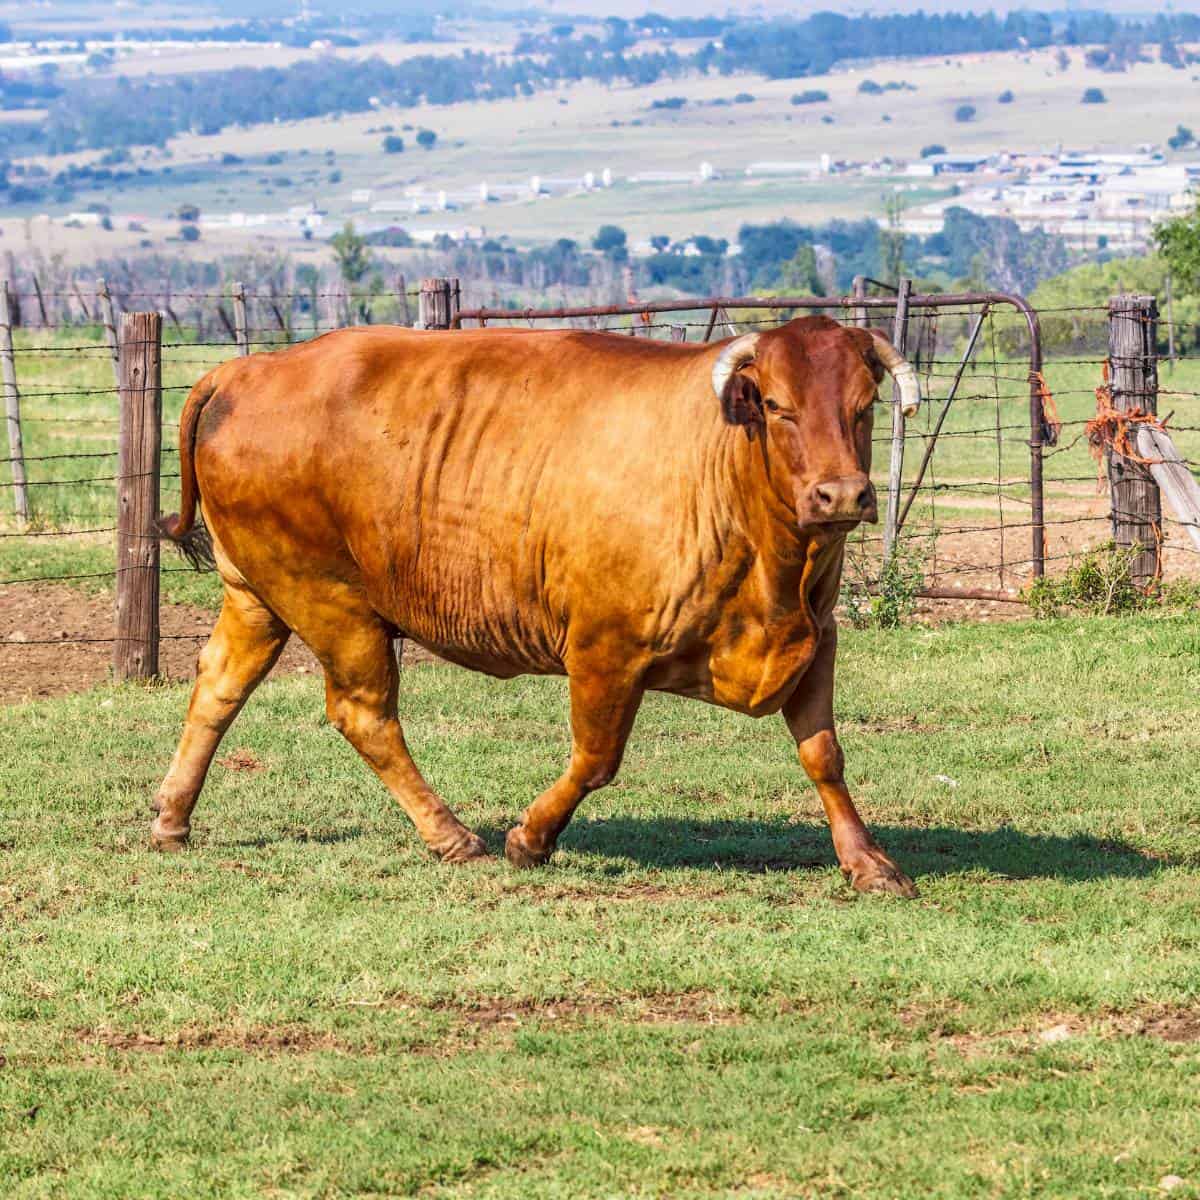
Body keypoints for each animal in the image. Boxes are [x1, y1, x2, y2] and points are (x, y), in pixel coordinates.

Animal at [153, 316, 921, 897]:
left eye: (863, 406)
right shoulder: (606, 648)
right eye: (777, 405)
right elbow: (597, 758)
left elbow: (824, 754)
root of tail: (250, 369)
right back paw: (452, 835)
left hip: (258, 596)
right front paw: (530, 837)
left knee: (218, 687)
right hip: (332, 602)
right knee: (363, 713)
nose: (841, 495)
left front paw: (868, 862)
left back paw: (172, 817)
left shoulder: (815, 639)